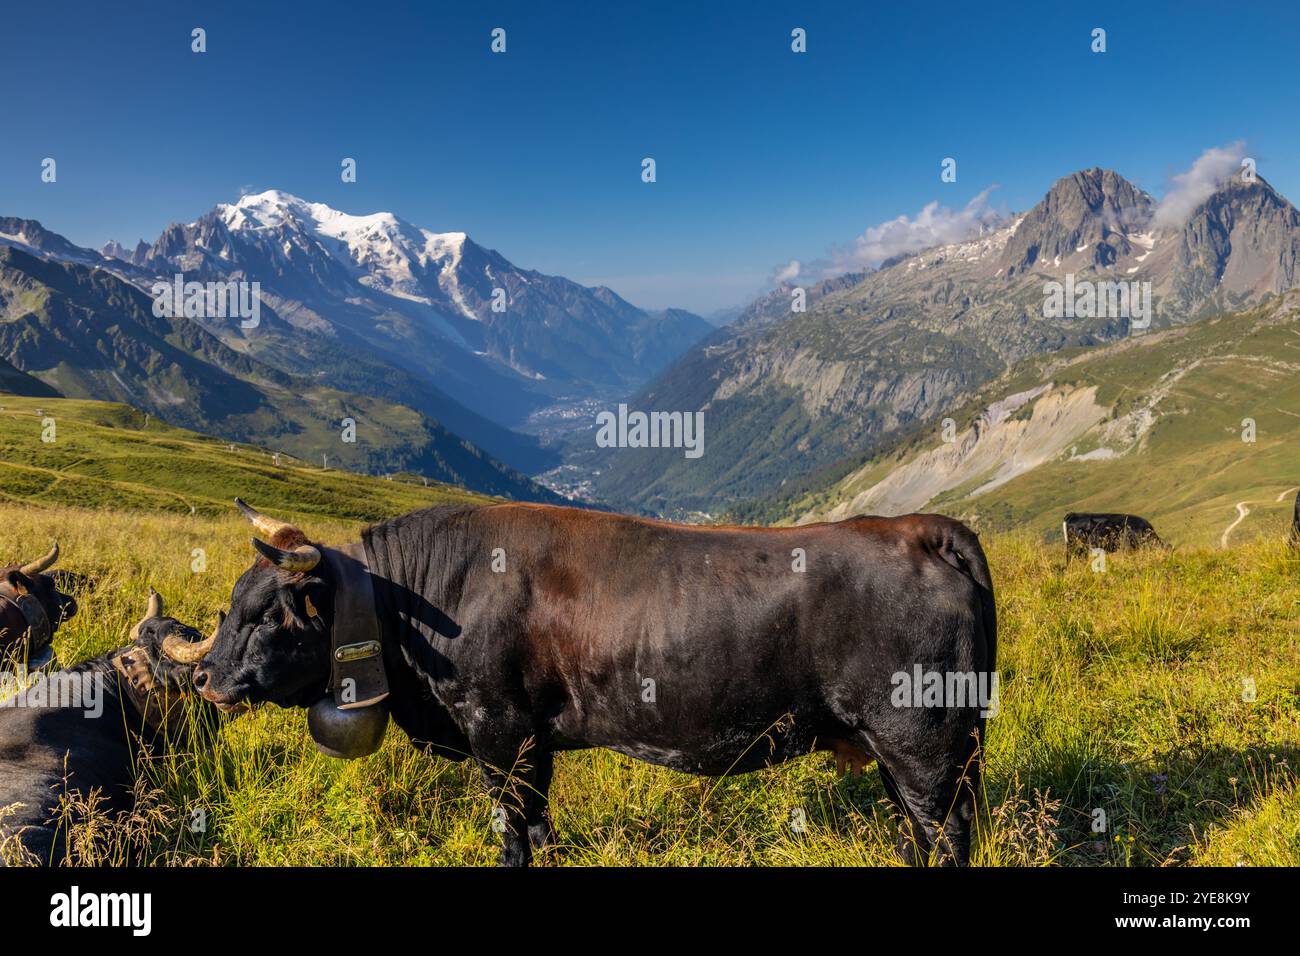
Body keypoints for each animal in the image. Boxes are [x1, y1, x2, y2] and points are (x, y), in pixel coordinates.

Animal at [193, 499, 998, 867]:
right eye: (230, 602)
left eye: (265, 614)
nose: (202, 675)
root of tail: (919, 527)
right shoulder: (535, 745)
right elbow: (541, 828)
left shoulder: (498, 733)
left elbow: (514, 830)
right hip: (906, 750)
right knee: (916, 832)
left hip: (924, 745)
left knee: (948, 832)